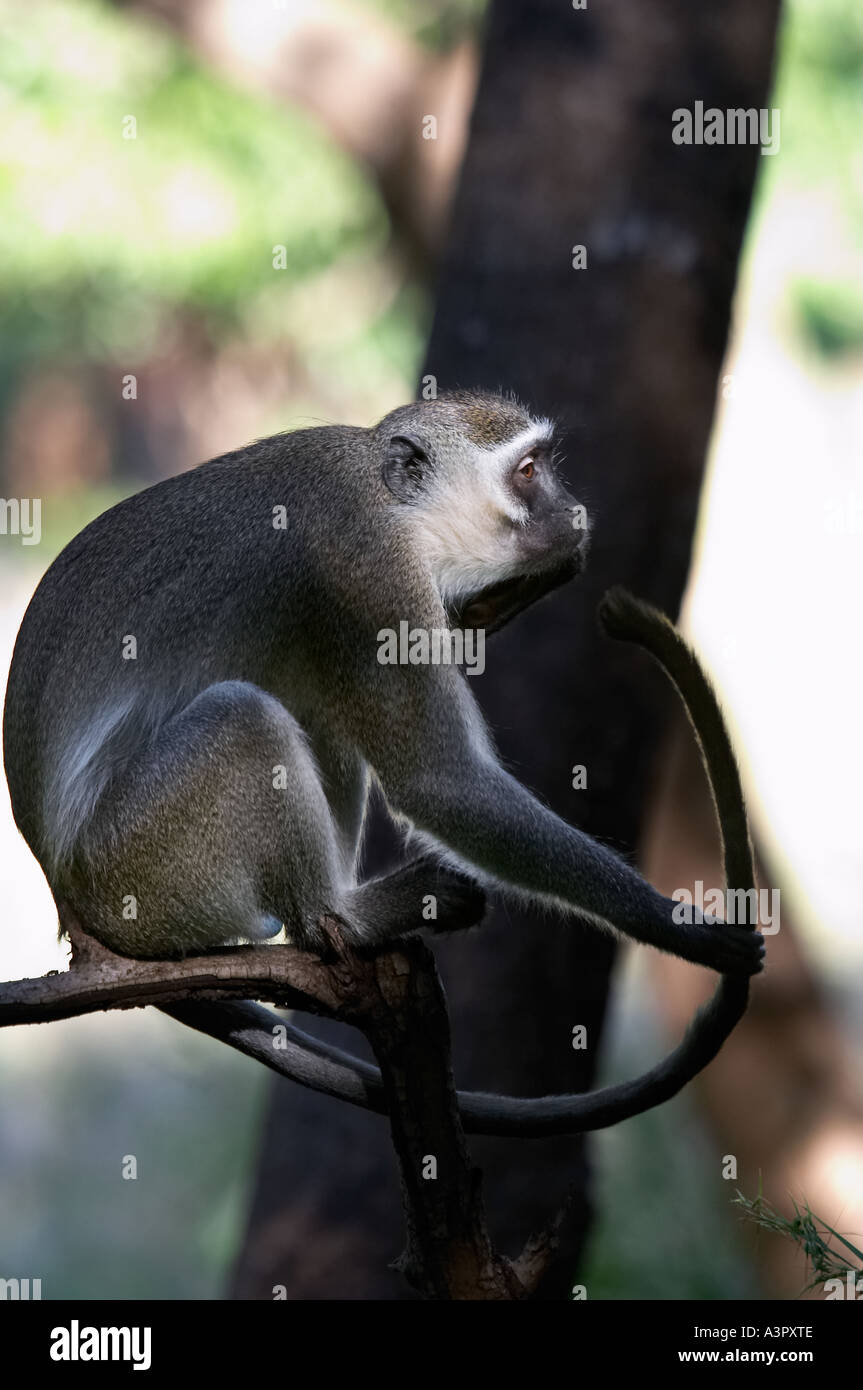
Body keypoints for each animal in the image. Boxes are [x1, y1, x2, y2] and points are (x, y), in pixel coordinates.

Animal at [2, 390, 763, 1043]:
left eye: (547, 465)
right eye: (527, 473)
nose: (571, 507)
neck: (395, 504)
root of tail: (67, 899)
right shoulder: (367, 565)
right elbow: (439, 782)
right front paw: (680, 927)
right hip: (135, 872)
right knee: (242, 719)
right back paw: (337, 919)